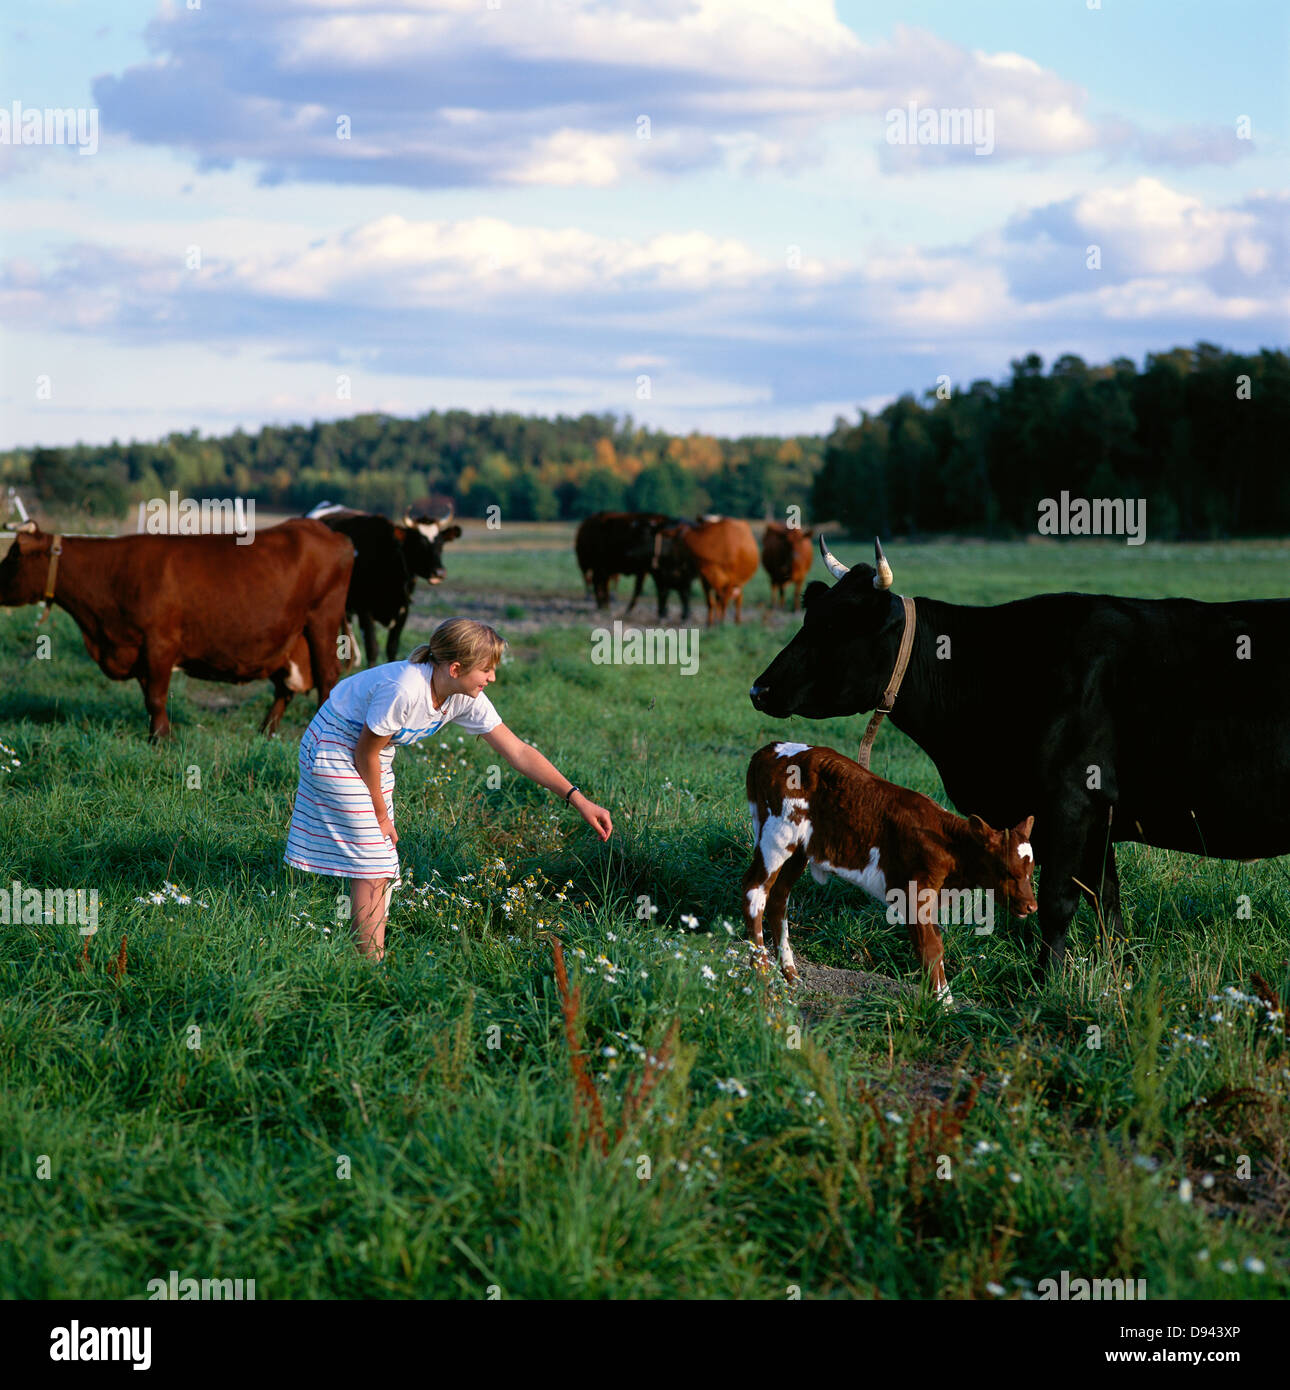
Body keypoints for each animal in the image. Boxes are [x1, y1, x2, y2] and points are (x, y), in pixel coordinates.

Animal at [0, 519, 353, 739]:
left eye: (14, 553)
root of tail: (325, 531)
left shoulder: (159, 642)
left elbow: (156, 697)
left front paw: (161, 739)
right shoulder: (138, 650)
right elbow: (148, 696)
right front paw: (156, 735)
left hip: (322, 620)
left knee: (327, 678)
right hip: (290, 640)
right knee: (285, 687)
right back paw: (265, 732)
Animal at [304, 502, 460, 664]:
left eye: (441, 544)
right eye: (418, 544)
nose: (439, 572)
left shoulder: (403, 609)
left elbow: (392, 647)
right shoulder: (365, 609)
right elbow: (372, 648)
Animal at [743, 742, 1037, 1002]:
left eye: (1031, 869)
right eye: (1004, 868)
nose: (1032, 906)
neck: (947, 843)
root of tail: (767, 750)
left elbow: (937, 944)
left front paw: (945, 1001)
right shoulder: (913, 893)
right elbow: (931, 948)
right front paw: (942, 1008)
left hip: (799, 851)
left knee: (778, 899)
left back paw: (790, 975)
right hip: (777, 837)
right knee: (754, 892)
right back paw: (762, 974)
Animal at [749, 535, 1290, 978]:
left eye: (838, 627)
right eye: (809, 619)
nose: (759, 689)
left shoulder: (1070, 801)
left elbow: (1057, 900)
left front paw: (1046, 980)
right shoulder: (1097, 816)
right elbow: (1106, 898)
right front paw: (1119, 972)